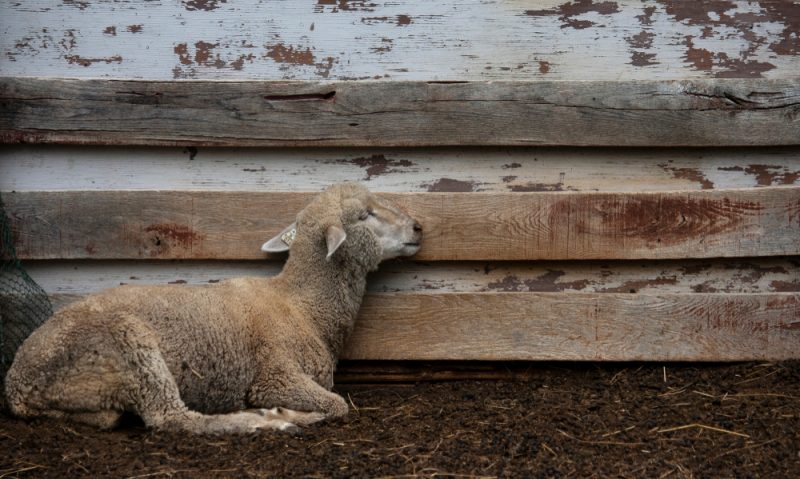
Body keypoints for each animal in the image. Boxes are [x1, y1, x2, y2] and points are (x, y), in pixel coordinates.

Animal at [4, 182, 422, 434]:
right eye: (364, 215)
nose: (418, 227)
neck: (302, 306)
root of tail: (17, 387)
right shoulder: (275, 375)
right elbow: (338, 405)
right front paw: (281, 412)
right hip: (130, 347)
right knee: (172, 417)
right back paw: (265, 421)